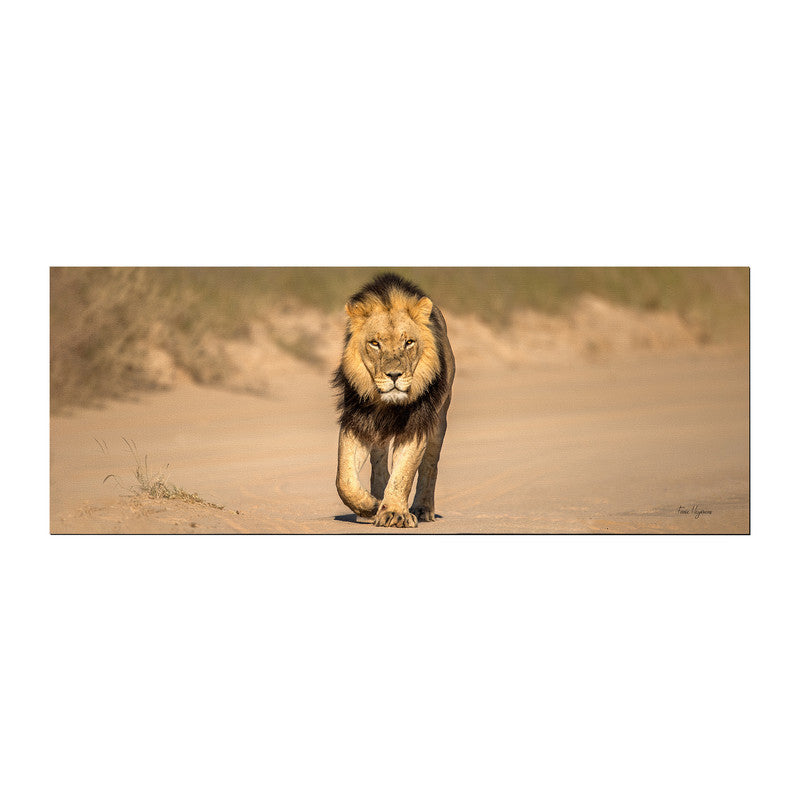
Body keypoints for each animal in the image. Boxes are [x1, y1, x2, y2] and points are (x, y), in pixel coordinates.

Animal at [332, 273, 456, 528]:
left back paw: (422, 509)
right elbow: (344, 479)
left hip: (439, 420)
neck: (387, 403)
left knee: (430, 465)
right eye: (375, 343)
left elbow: (404, 473)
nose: (394, 375)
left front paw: (395, 513)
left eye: (409, 342)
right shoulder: (356, 420)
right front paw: (370, 506)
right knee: (378, 462)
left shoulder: (416, 425)